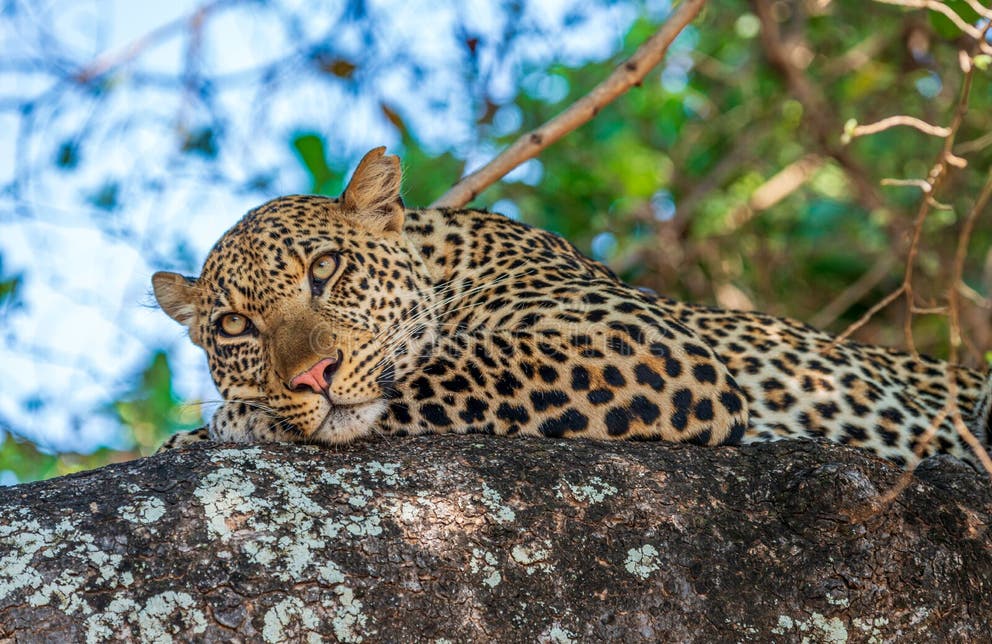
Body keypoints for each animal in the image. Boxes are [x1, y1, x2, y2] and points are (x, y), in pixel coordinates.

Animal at [153, 147, 992, 471]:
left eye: (324, 269)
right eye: (235, 327)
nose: (310, 378)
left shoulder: (640, 341)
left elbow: (449, 367)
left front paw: (230, 422)